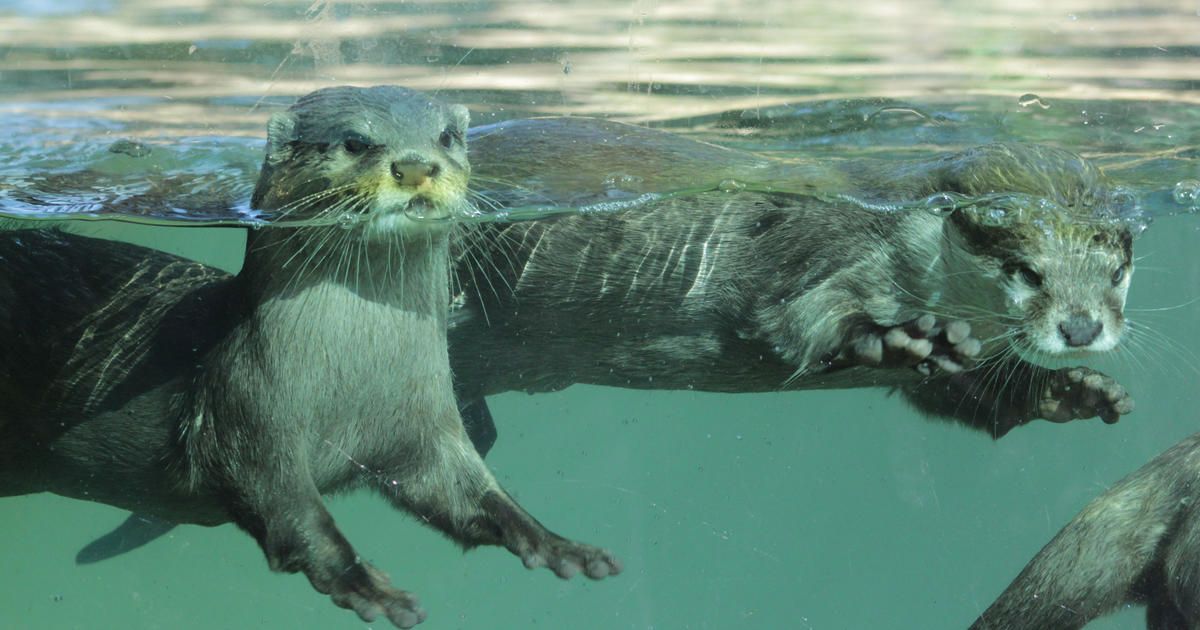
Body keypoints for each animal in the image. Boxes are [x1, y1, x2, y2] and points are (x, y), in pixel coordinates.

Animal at [0, 86, 620, 628]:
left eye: (447, 137)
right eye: (355, 141)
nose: (416, 166)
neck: (351, 381)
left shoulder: (426, 424)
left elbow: (469, 494)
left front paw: (558, 543)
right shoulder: (245, 414)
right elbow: (294, 516)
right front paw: (365, 584)